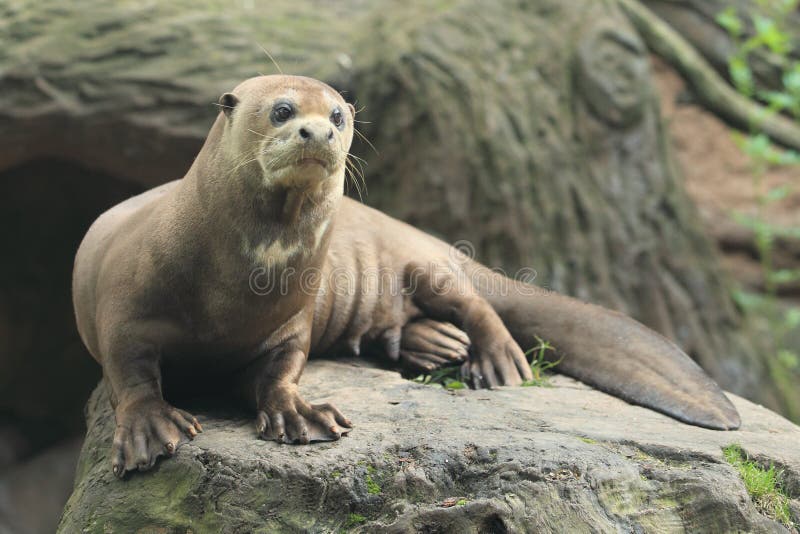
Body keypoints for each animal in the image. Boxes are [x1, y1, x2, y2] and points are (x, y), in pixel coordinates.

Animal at [72, 75, 740, 478]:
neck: (230, 293)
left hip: (427, 264)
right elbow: (131, 372)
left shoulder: (289, 324)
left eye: (338, 114)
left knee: (479, 305)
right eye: (283, 110)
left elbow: (281, 371)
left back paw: (494, 360)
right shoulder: (124, 310)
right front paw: (149, 428)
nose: (319, 131)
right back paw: (433, 346)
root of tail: (428, 235)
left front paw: (300, 412)